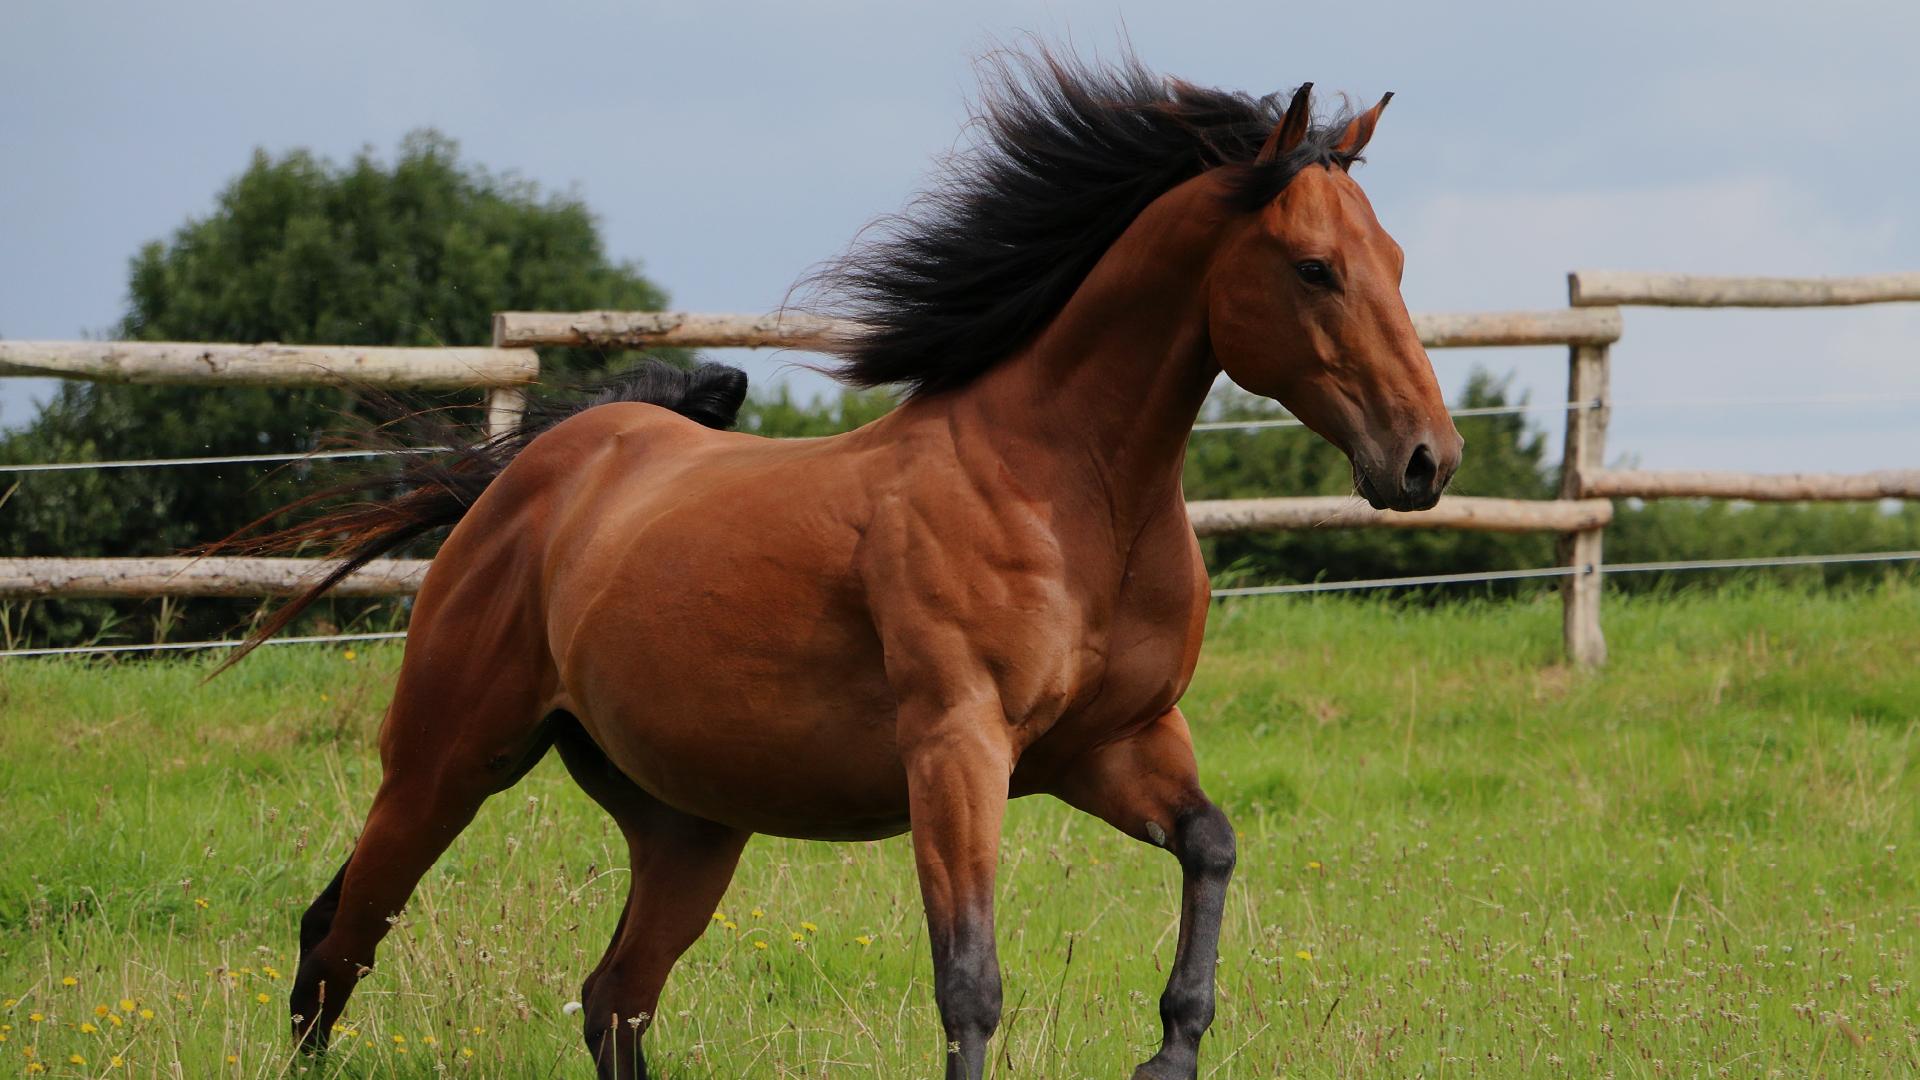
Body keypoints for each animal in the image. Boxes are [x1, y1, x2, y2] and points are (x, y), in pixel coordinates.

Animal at [249, 50, 1461, 1080]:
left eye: (1400, 261)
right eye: (1315, 268)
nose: (1425, 458)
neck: (1067, 492)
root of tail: (536, 475)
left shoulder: (1110, 746)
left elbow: (1211, 846)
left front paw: (1167, 1052)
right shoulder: (958, 751)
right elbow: (970, 985)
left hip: (687, 826)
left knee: (612, 999)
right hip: (448, 760)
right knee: (339, 939)